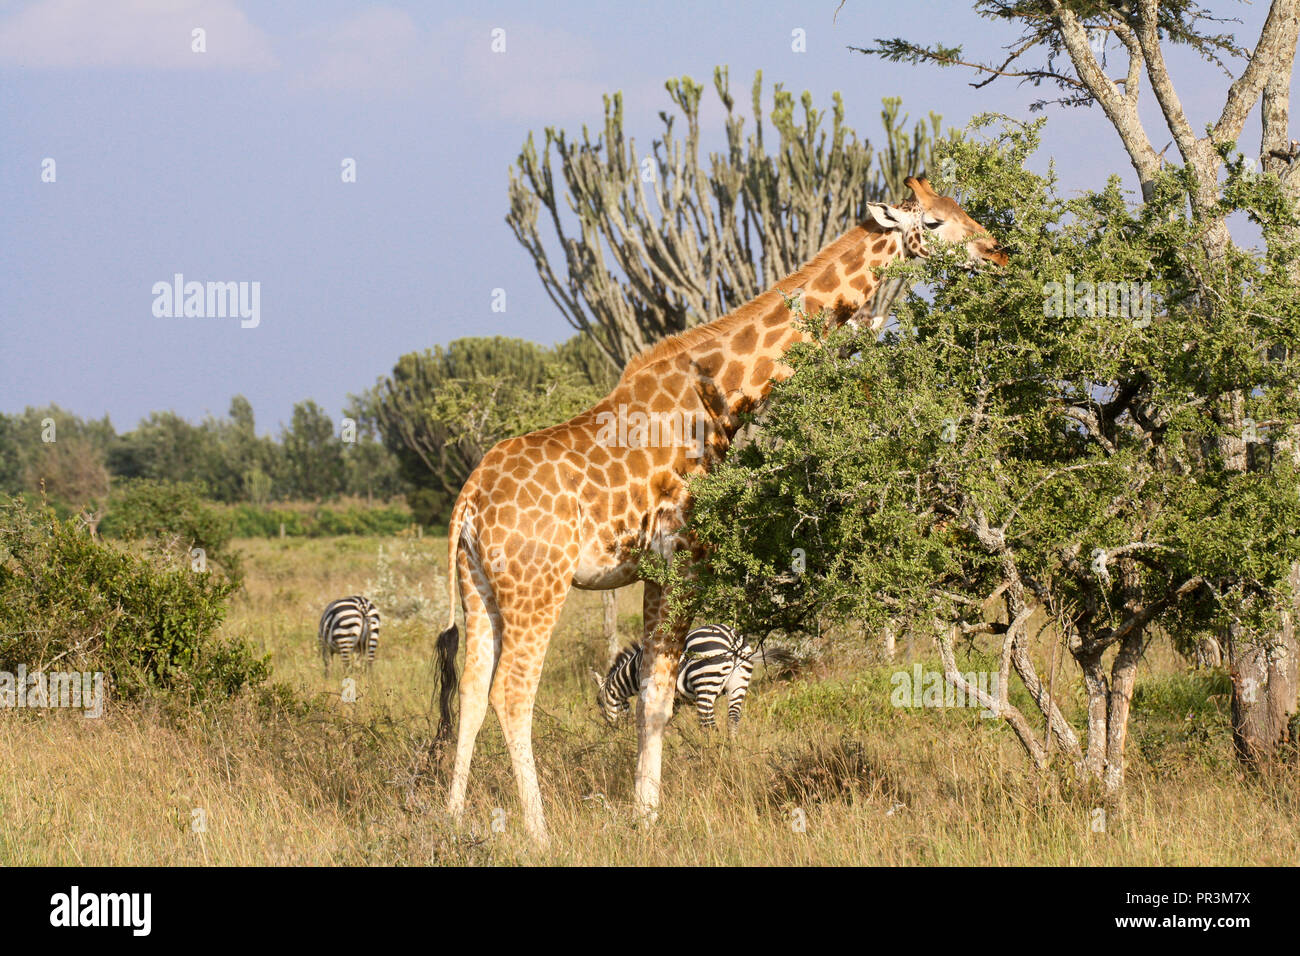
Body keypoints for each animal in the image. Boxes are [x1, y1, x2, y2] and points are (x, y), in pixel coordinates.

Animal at [594, 624, 755, 731]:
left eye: (599, 703)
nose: (609, 730)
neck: (635, 671)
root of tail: (731, 638)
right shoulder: (673, 699)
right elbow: (666, 722)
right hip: (738, 685)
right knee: (733, 721)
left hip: (706, 683)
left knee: (709, 726)